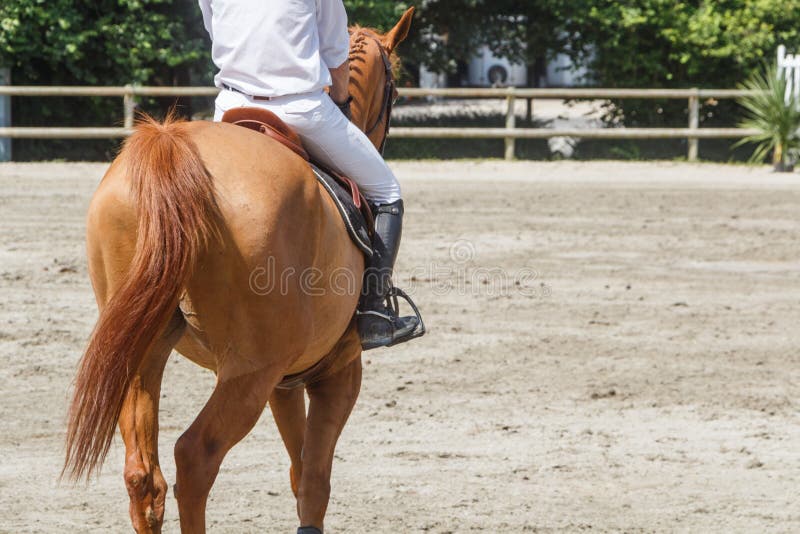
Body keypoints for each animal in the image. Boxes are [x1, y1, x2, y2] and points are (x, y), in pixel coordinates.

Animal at [63, 8, 415, 533]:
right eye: (395, 88)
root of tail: (172, 148)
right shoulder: (335, 373)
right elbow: (315, 481)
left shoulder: (284, 381)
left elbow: (298, 471)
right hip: (248, 372)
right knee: (194, 457)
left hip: (142, 352)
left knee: (144, 476)